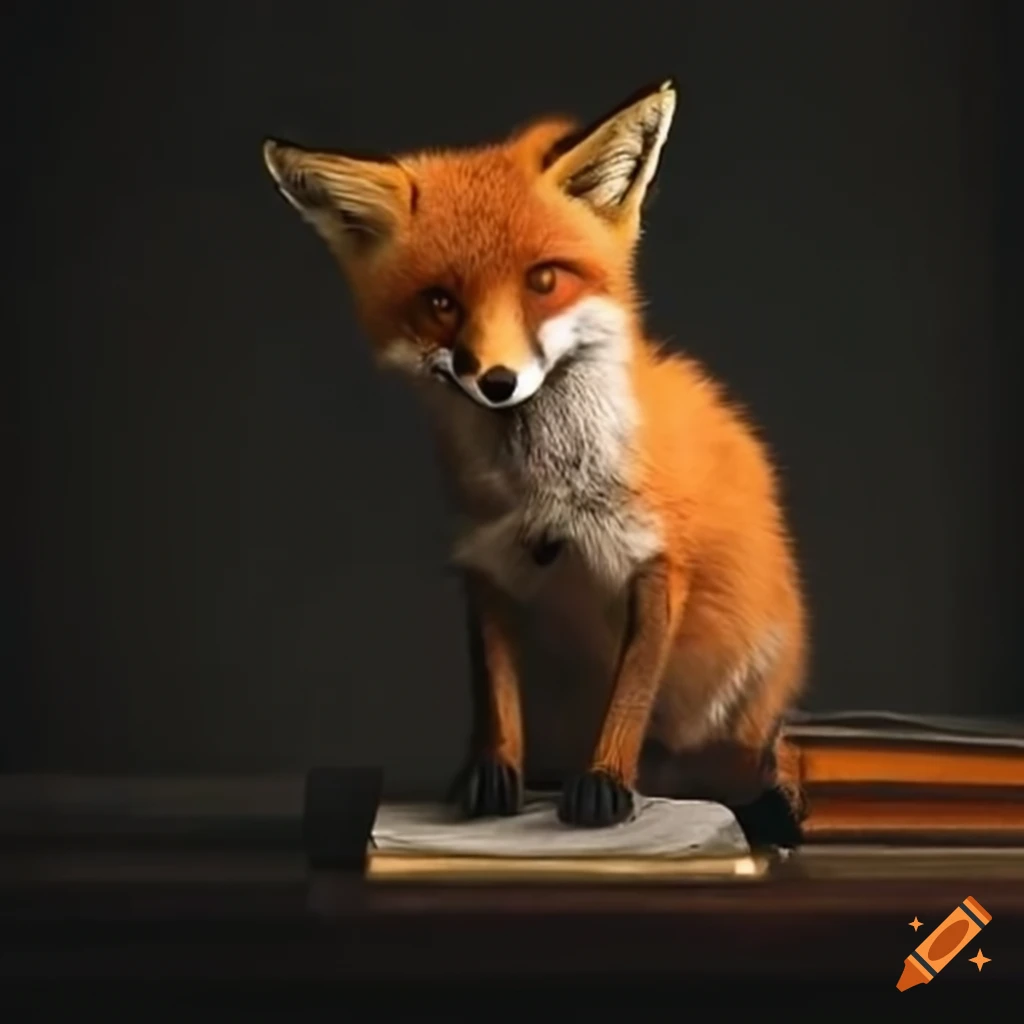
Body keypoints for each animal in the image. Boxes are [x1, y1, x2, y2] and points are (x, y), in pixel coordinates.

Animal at [263, 79, 809, 846]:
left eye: (544, 280)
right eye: (440, 302)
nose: (497, 380)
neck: (551, 492)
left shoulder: (656, 562)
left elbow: (629, 698)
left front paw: (605, 783)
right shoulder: (486, 564)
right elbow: (495, 696)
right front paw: (493, 776)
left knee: (746, 752)